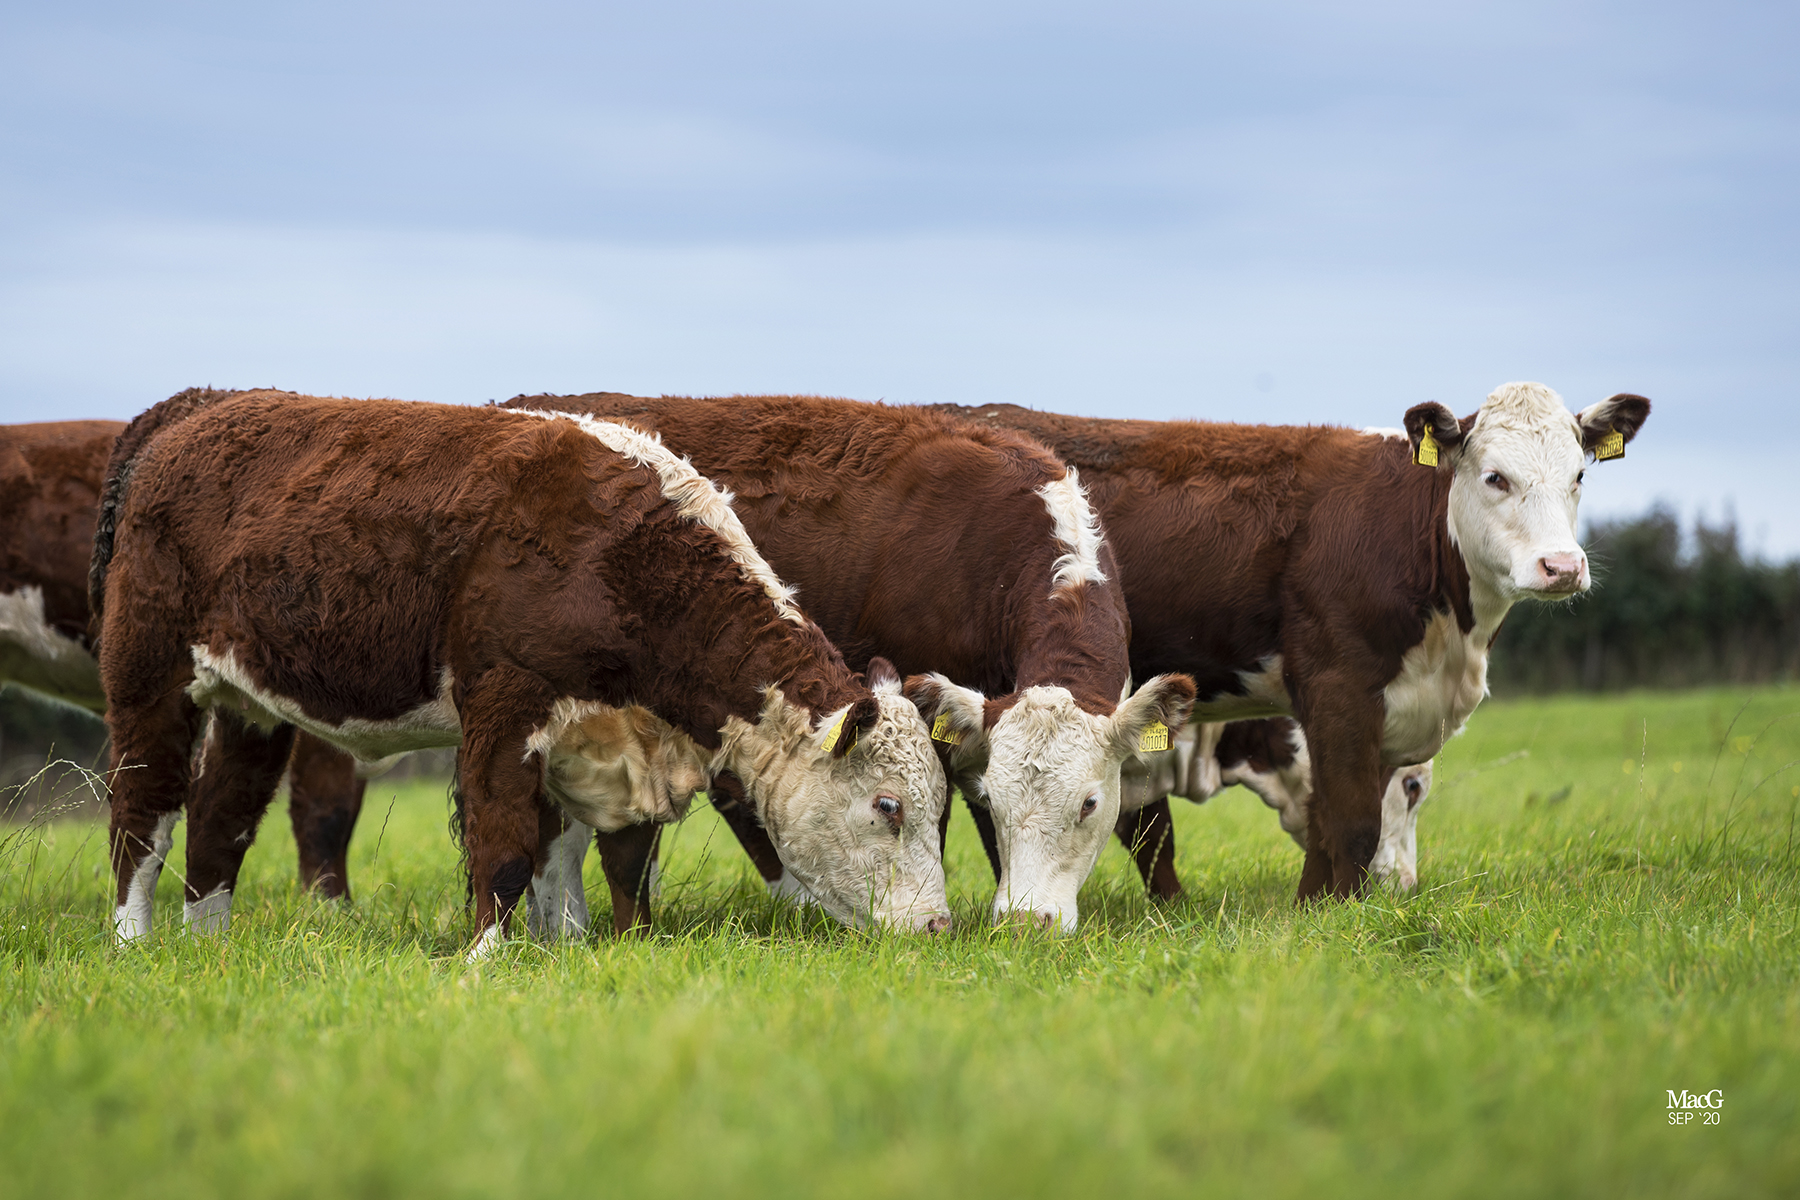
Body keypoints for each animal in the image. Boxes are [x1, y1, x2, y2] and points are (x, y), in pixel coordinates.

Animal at [91, 388, 954, 951]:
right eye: (886, 805)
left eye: (939, 805)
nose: (938, 924)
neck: (624, 559)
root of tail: (195, 409)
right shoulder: (503, 705)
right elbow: (505, 846)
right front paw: (488, 960)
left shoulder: (615, 735)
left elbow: (608, 858)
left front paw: (607, 947)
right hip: (149, 679)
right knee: (144, 811)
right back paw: (134, 941)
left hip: (252, 707)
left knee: (220, 818)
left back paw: (211, 946)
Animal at [932, 382, 1648, 899]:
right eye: (1496, 476)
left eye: (1579, 476)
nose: (1561, 566)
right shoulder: (1338, 688)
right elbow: (1348, 823)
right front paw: (1331, 917)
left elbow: (1328, 822)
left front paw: (1314, 907)